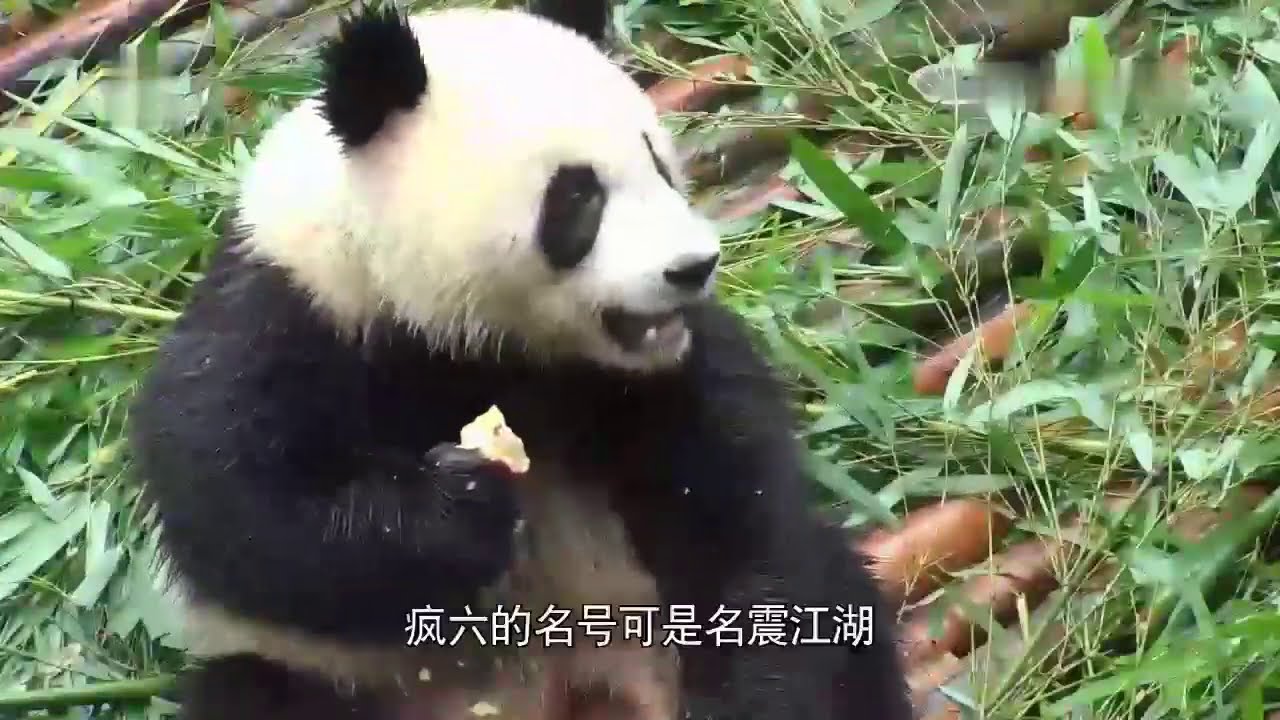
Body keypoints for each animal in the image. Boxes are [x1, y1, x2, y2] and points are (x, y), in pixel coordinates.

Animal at [126, 1, 915, 720]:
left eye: (658, 163)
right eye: (578, 197)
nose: (692, 267)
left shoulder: (641, 372)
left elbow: (735, 511)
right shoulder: (294, 314)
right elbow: (240, 504)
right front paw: (460, 507)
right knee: (254, 695)